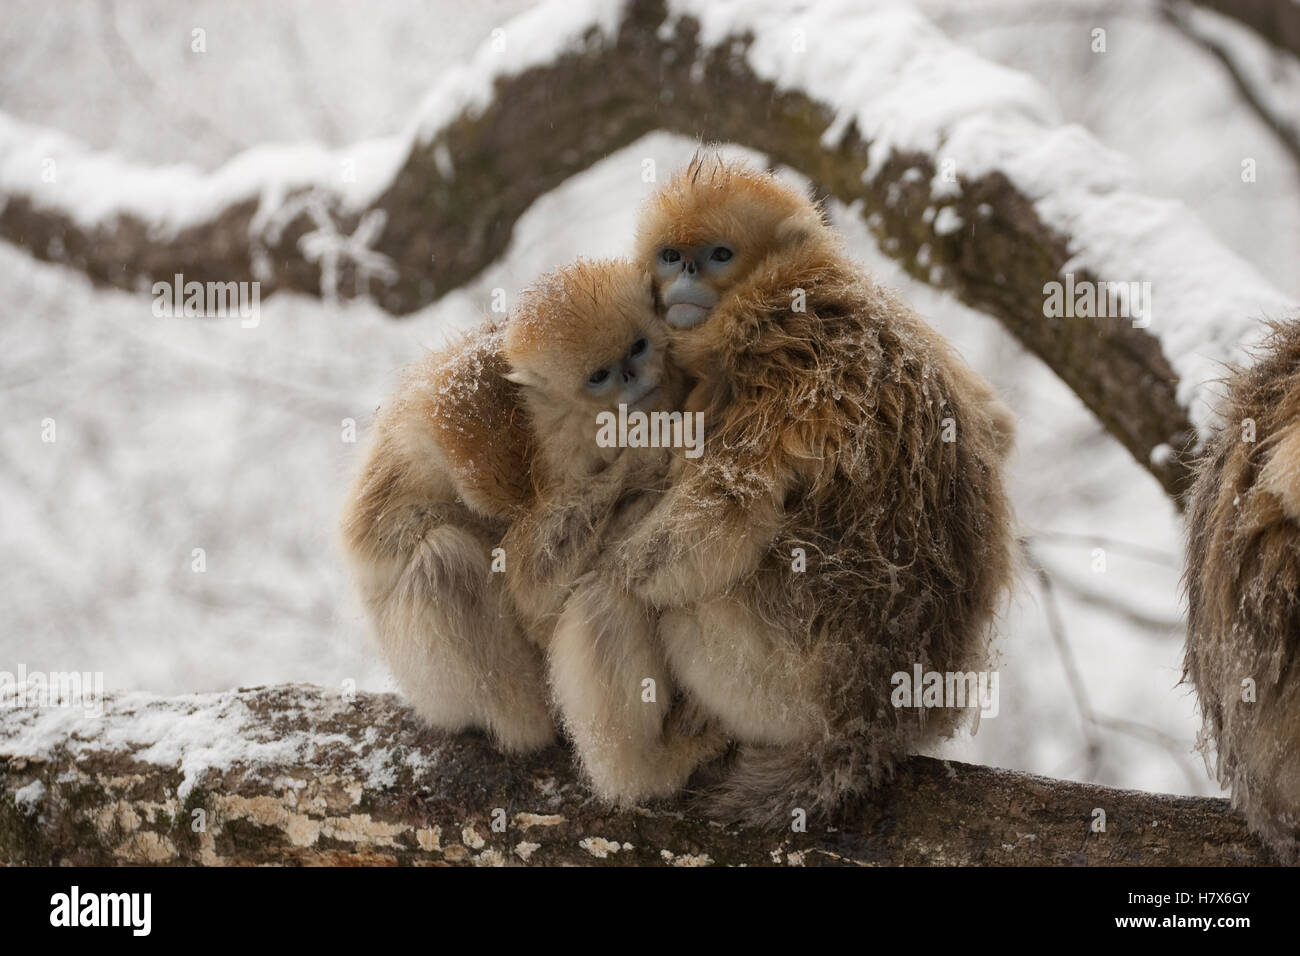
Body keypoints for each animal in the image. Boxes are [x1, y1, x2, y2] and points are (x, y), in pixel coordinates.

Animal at [499, 257, 728, 805]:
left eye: (638, 347)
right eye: (600, 376)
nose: (630, 376)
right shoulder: (562, 452)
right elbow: (534, 598)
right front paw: (648, 453)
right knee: (604, 596)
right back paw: (645, 771)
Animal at [610, 154, 1017, 829]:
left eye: (718, 255)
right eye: (671, 255)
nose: (685, 274)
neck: (784, 289)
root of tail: (877, 728)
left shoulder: (783, 367)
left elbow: (708, 530)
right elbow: (996, 422)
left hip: (774, 678)